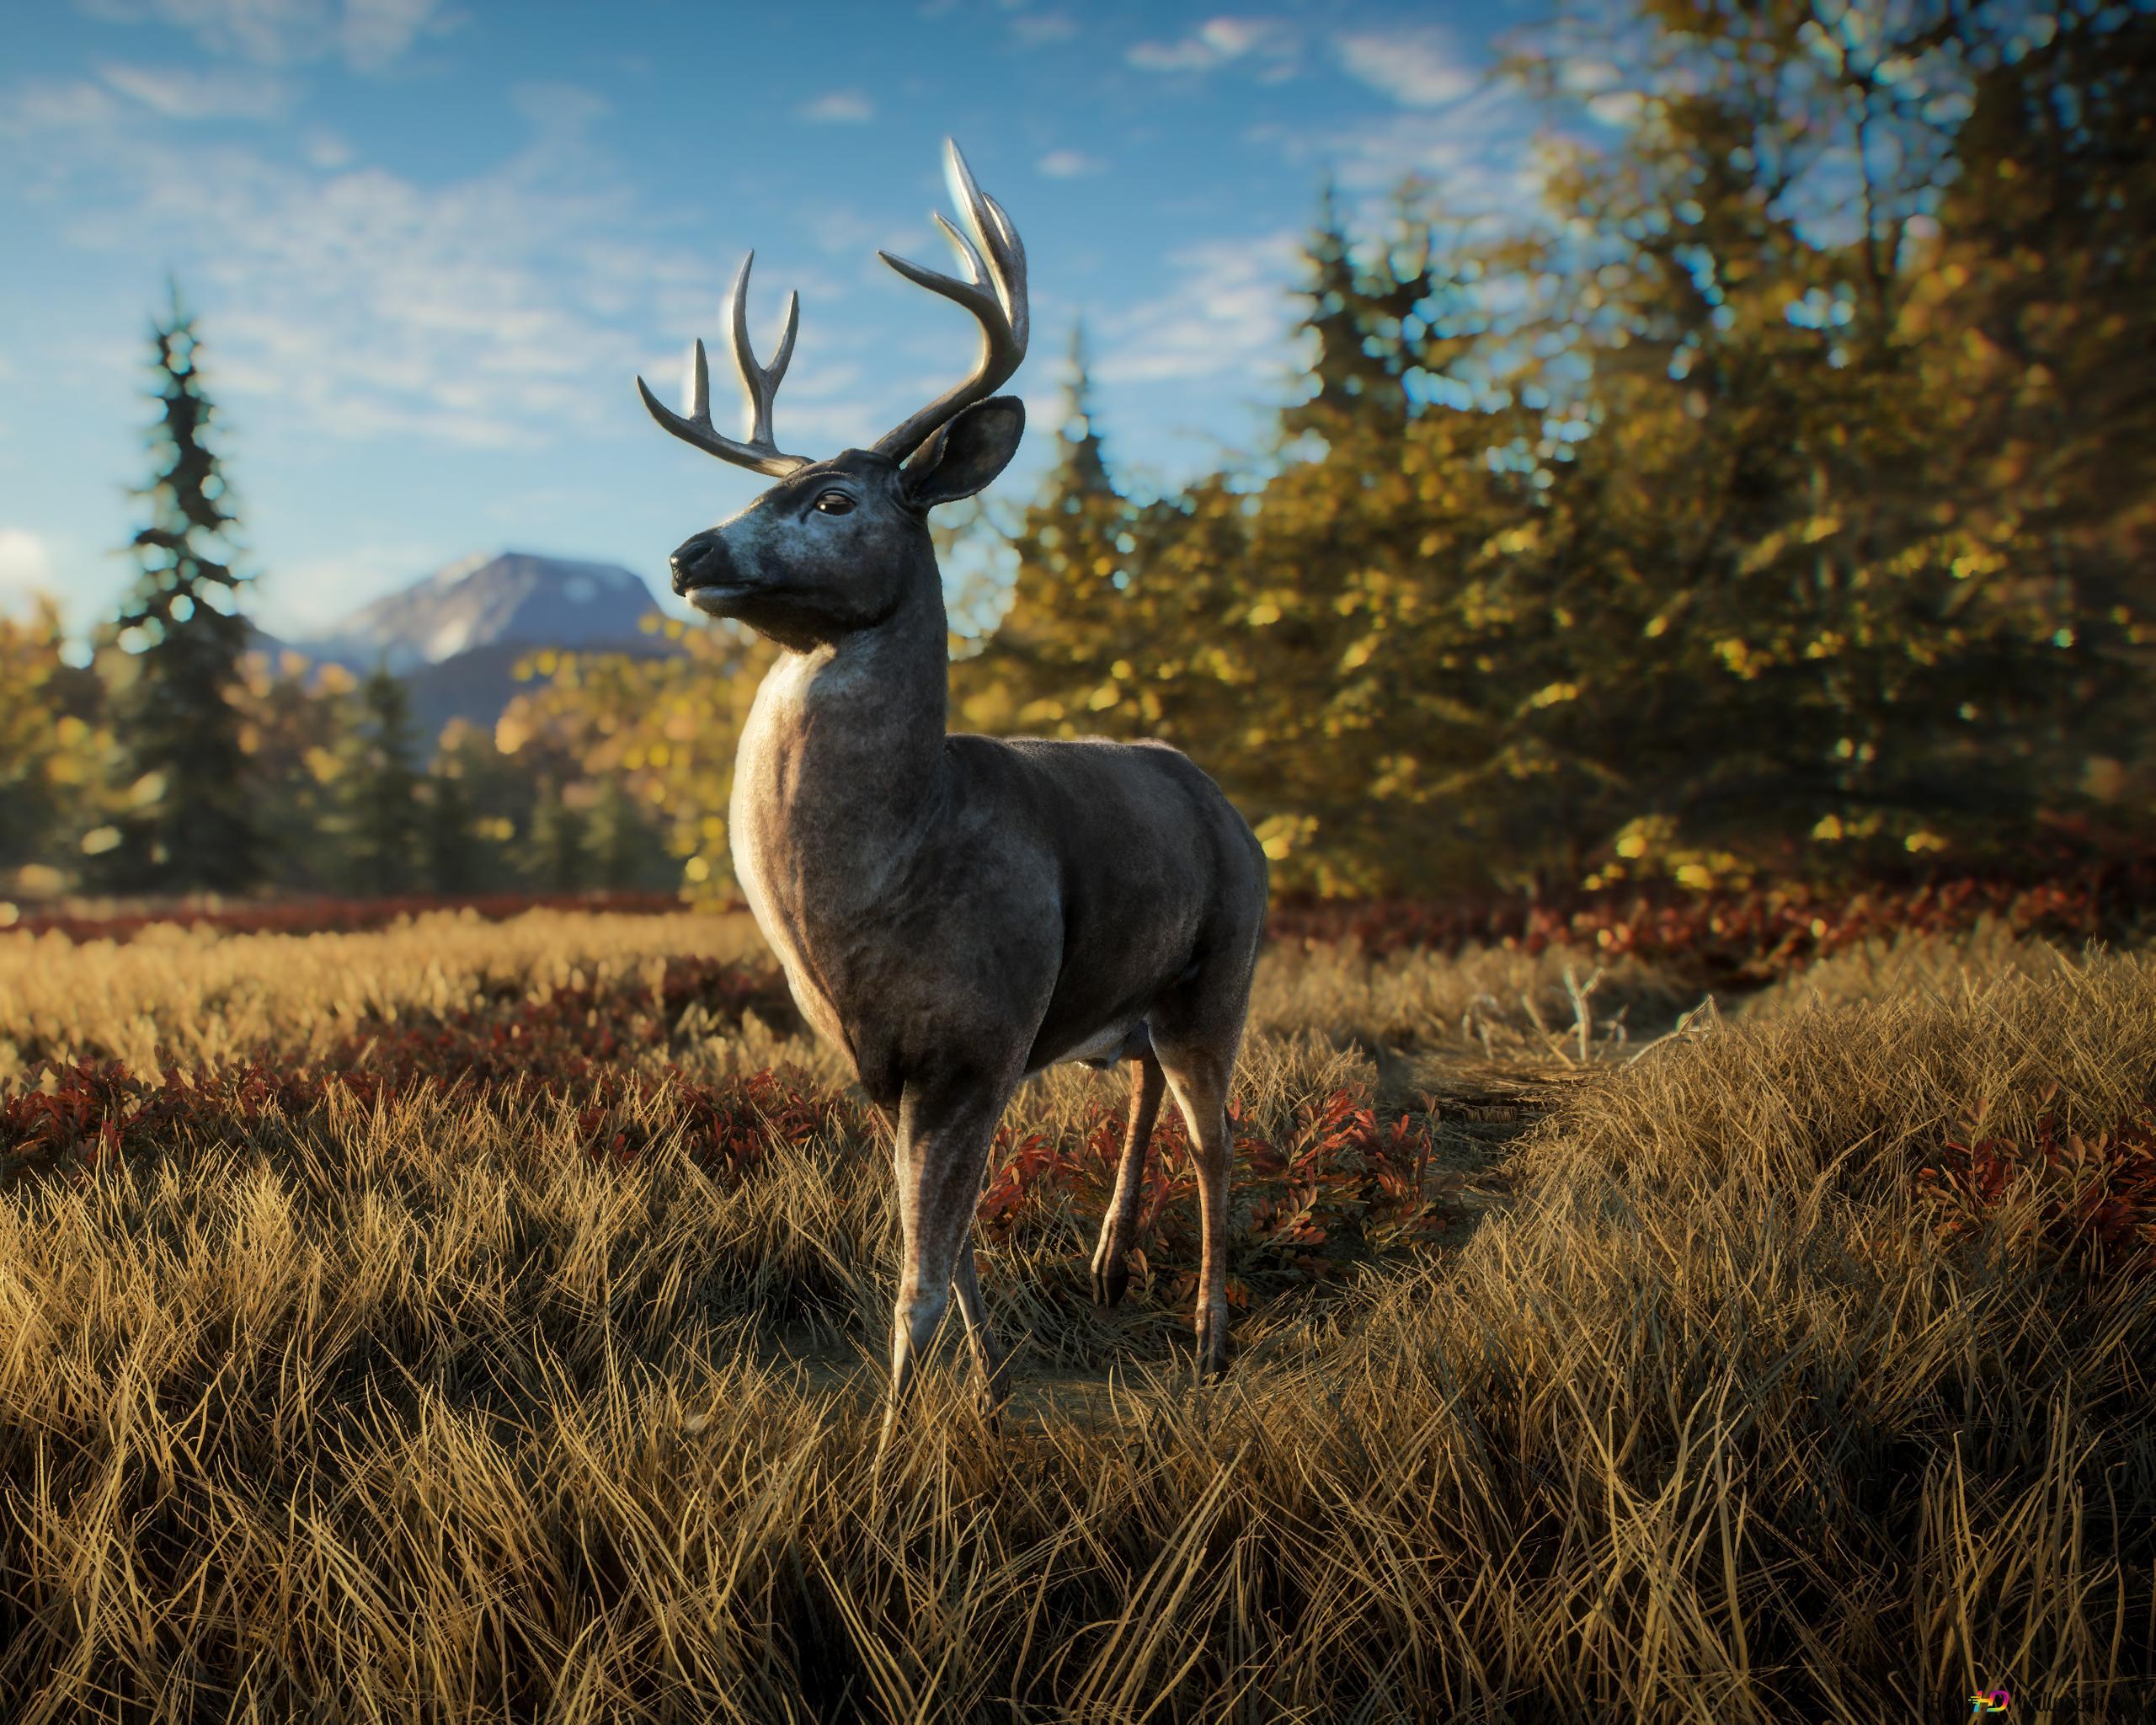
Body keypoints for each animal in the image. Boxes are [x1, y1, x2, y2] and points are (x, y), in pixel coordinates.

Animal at [637, 140, 1268, 1450]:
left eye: (835, 501)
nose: (689, 552)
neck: (876, 888)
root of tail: (1226, 802)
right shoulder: (883, 1062)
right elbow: (953, 1242)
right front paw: (988, 1389)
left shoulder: (979, 1033)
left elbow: (919, 1275)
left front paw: (887, 1445)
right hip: (1125, 992)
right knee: (1143, 1089)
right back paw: (1108, 1265)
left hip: (1224, 964)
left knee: (1219, 1138)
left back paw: (1209, 1340)